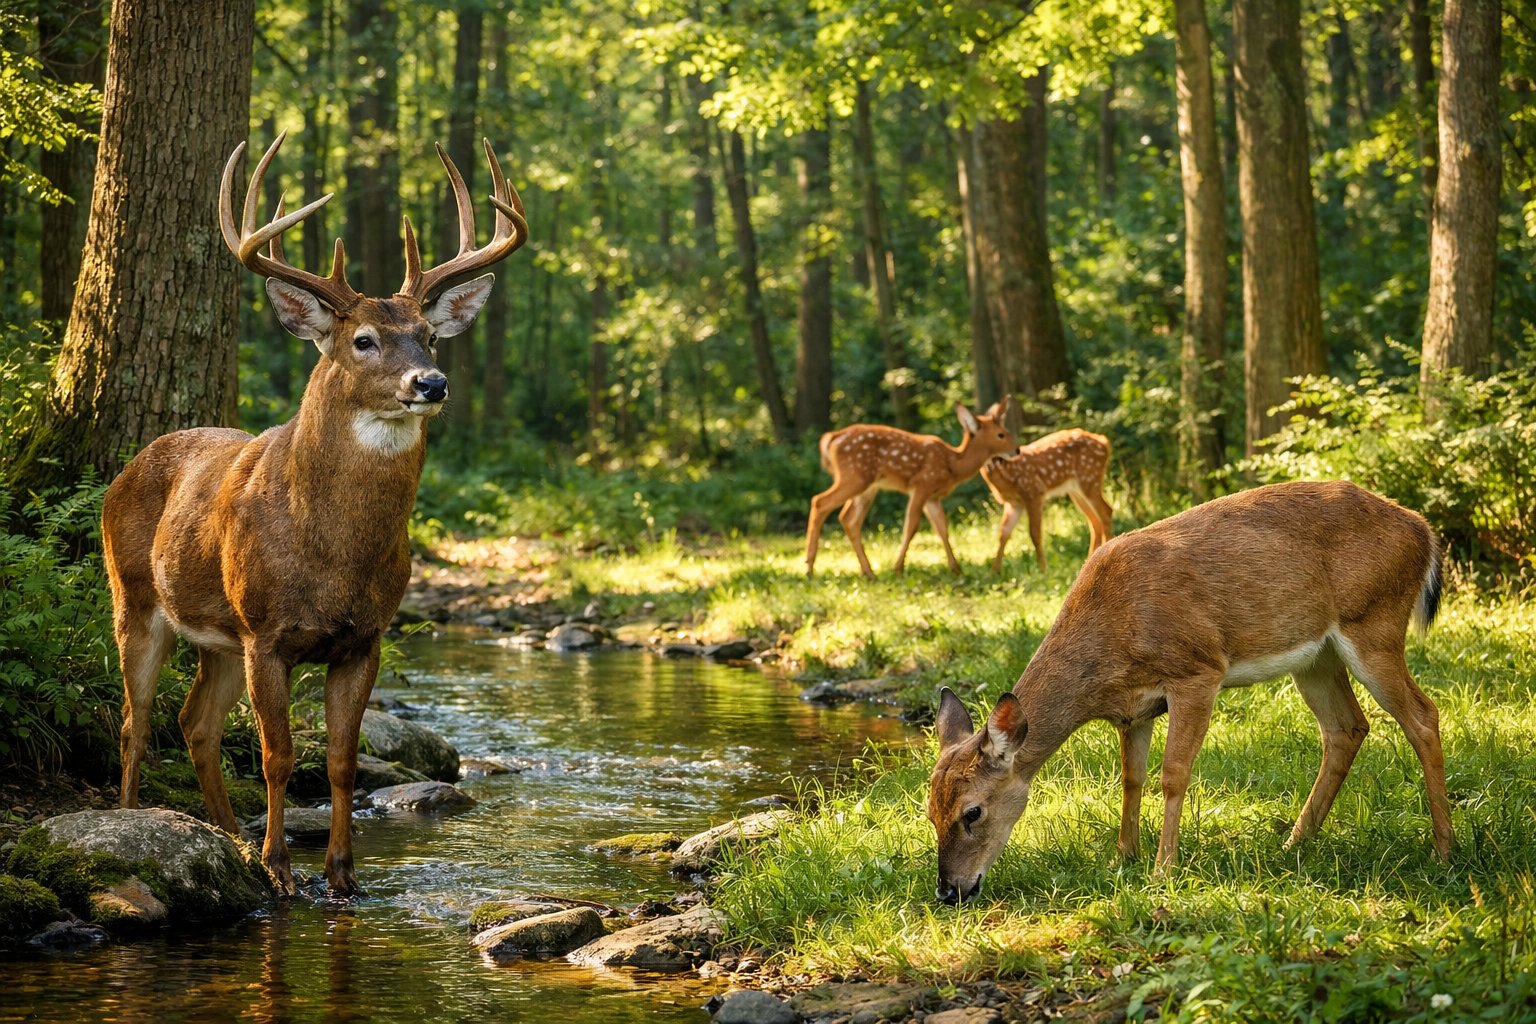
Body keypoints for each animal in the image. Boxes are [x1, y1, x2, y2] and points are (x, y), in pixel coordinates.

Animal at [101, 132, 527, 897]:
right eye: (363, 339)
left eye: (430, 334)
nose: (431, 383)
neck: (333, 551)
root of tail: (129, 464)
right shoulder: (266, 631)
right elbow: (277, 755)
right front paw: (280, 869)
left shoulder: (363, 638)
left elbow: (339, 760)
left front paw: (341, 875)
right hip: (137, 595)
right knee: (135, 719)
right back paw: (136, 821)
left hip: (217, 636)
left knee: (195, 723)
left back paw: (230, 838)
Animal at [805, 398, 1017, 577]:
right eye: (1001, 434)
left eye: (1007, 431)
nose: (1016, 450)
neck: (952, 465)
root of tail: (831, 438)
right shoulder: (921, 484)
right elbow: (911, 526)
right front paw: (898, 568)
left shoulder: (933, 497)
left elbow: (942, 528)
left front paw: (956, 569)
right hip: (855, 476)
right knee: (820, 501)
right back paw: (810, 568)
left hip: (867, 486)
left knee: (848, 518)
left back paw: (869, 572)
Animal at [926, 480, 1452, 904]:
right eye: (931, 811)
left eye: (972, 812)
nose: (950, 890)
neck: (1111, 642)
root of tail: (1422, 530)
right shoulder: (1134, 710)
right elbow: (1131, 778)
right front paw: (1123, 857)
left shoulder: (1198, 671)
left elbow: (1173, 775)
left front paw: (1163, 870)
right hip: (1316, 658)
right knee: (1346, 728)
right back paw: (1294, 842)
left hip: (1374, 624)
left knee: (1423, 715)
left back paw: (1443, 849)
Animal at [980, 428, 1114, 573]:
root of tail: (1104, 441)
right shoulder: (1014, 504)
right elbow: (1004, 532)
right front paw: (993, 572)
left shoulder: (1034, 492)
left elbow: (1034, 533)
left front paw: (1043, 569)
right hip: (1075, 489)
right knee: (1094, 520)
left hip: (1089, 478)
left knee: (1106, 511)